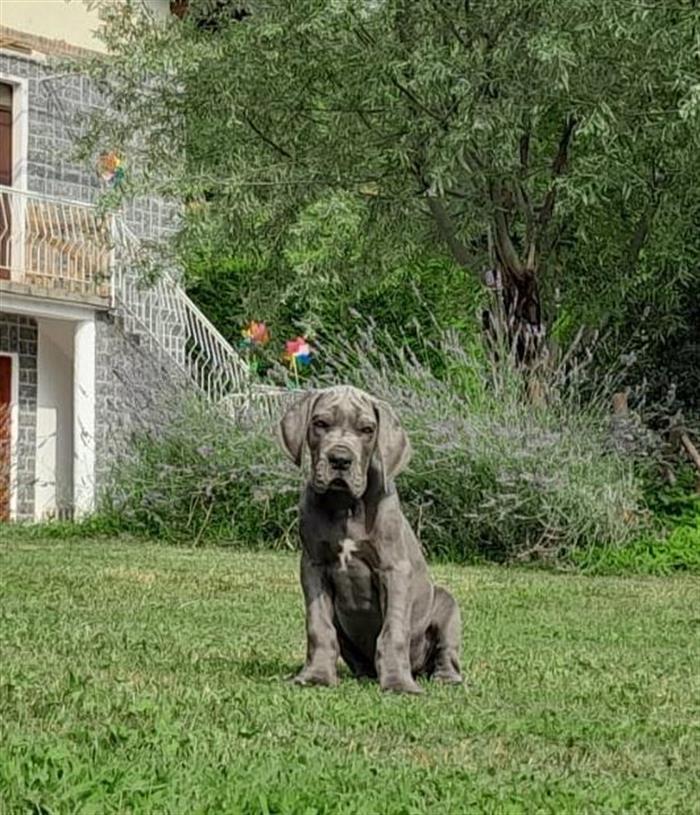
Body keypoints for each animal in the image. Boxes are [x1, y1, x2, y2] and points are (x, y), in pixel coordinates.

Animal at [276, 386, 462, 692]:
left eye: (367, 429)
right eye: (320, 423)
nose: (340, 459)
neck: (346, 504)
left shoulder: (394, 569)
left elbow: (393, 631)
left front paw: (398, 683)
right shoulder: (314, 566)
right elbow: (318, 626)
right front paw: (316, 676)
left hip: (447, 605)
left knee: (447, 651)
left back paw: (444, 677)